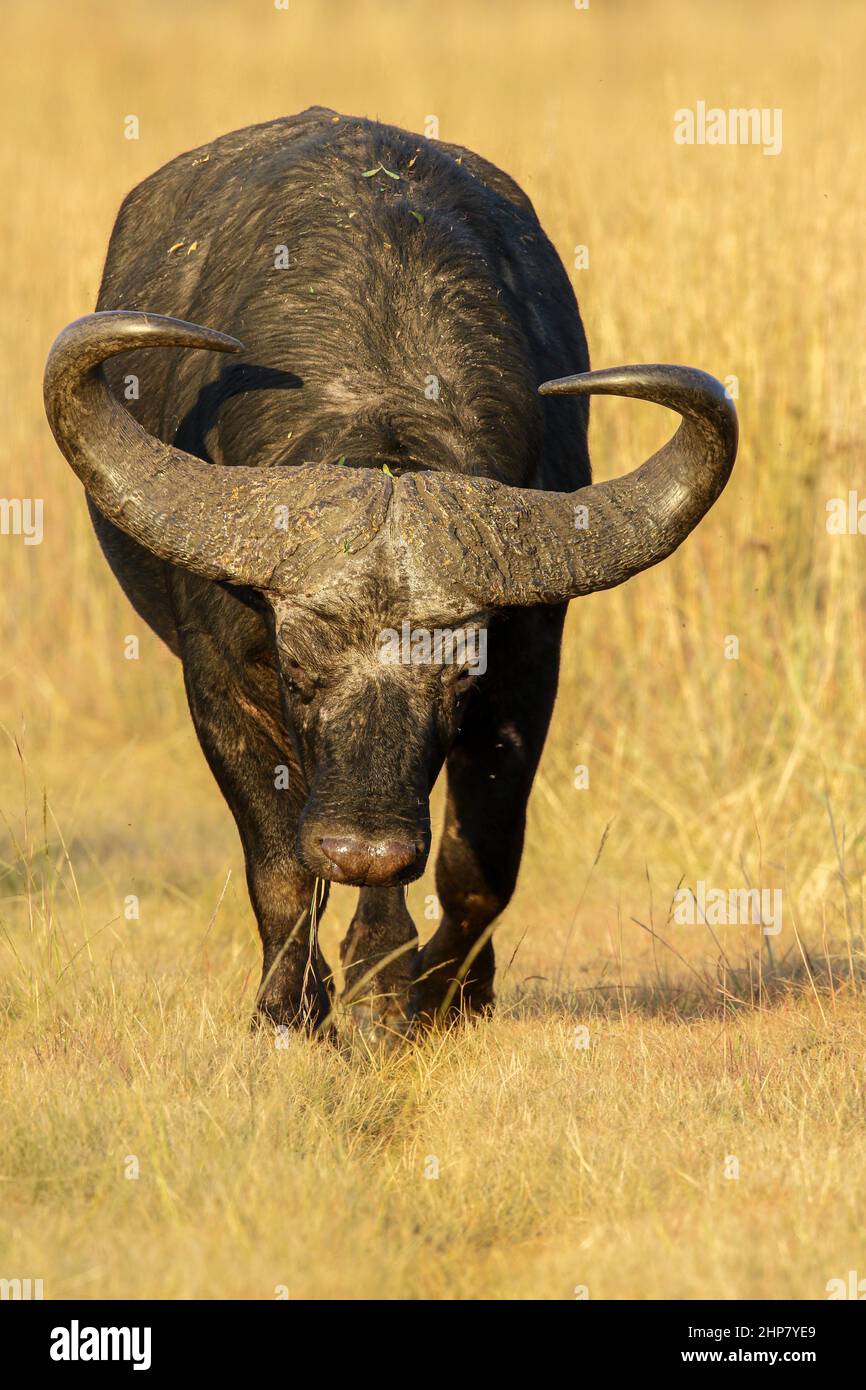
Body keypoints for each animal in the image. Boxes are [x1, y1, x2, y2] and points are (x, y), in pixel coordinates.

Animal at [44, 108, 737, 1042]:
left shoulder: (527, 675)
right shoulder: (219, 687)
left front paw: (427, 993)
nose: (362, 846)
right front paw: (291, 1011)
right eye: (297, 670)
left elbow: (478, 866)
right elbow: (280, 867)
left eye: (456, 682)